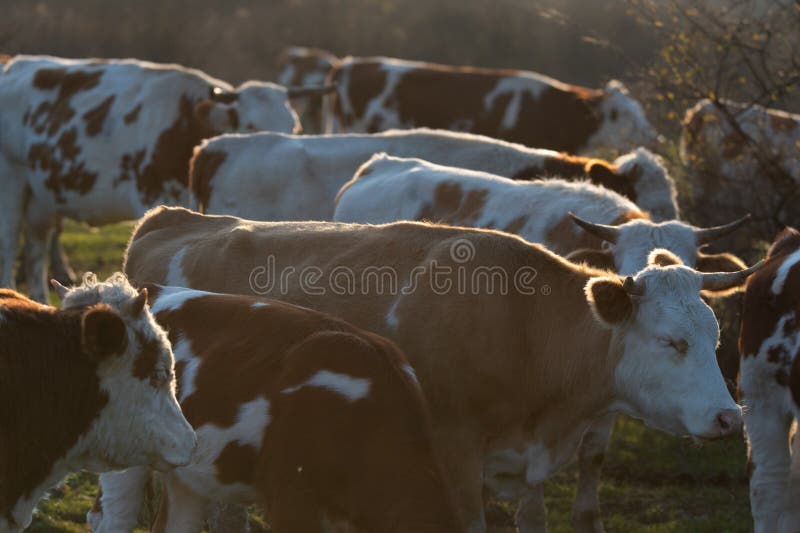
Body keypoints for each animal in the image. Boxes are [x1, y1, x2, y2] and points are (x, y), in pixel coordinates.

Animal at [0, 54, 302, 303]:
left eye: (294, 125)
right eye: (249, 124)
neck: (185, 125)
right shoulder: (152, 194)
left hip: (41, 196)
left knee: (36, 247)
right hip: (12, 179)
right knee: (9, 241)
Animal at [124, 206, 758, 533]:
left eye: (714, 336)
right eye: (671, 341)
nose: (730, 418)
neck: (522, 323)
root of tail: (172, 218)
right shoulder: (454, 454)